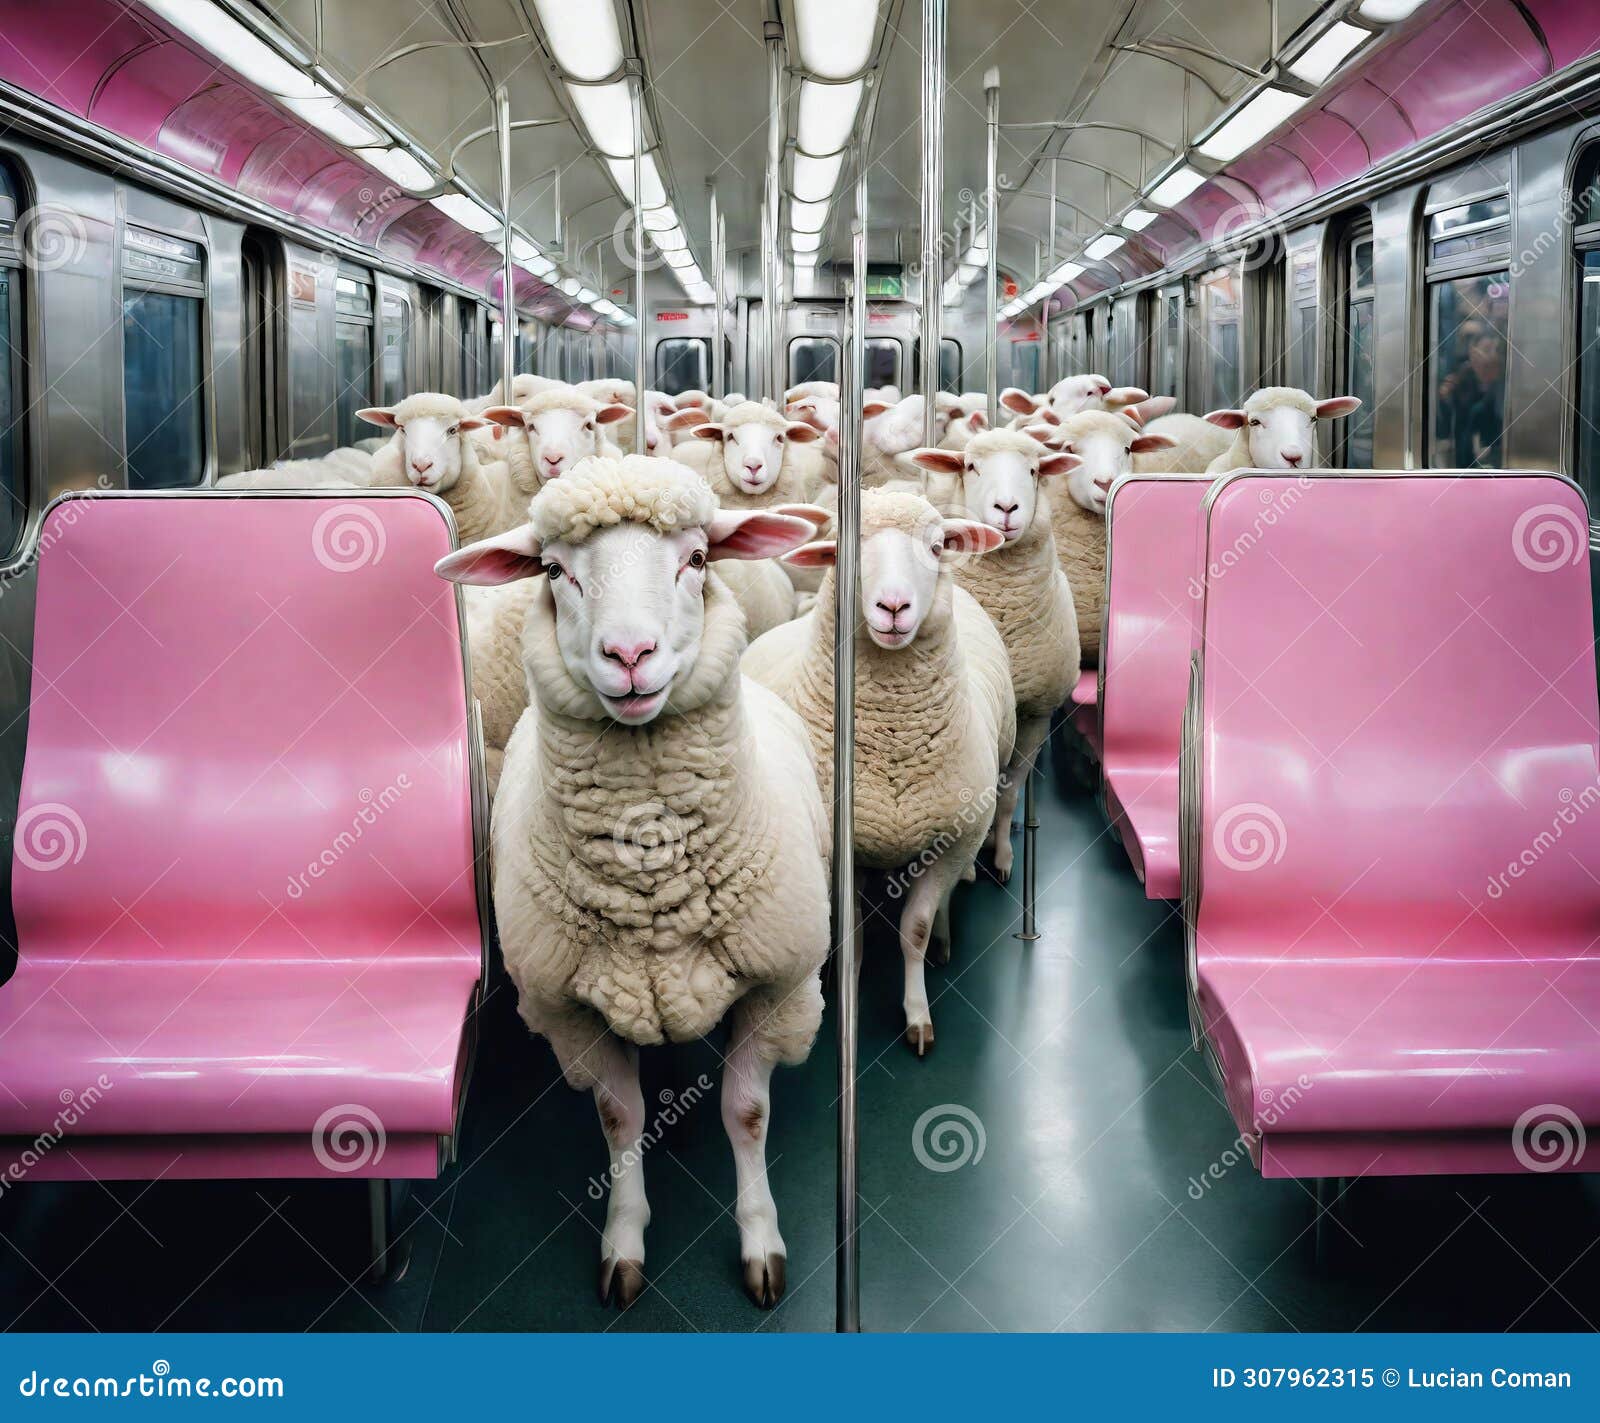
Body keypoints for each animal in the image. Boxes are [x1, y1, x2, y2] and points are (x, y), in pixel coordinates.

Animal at [434, 454, 829, 1310]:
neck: (654, 892)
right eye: (555, 570)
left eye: (698, 558)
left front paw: (761, 1238)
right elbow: (620, 1118)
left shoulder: (777, 986)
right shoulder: (570, 1011)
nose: (630, 654)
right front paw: (624, 1237)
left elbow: (747, 1113)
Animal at [742, 487, 1015, 1054]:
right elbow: (853, 937)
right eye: (847, 550)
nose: (893, 607)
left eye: (937, 547)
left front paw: (917, 1014)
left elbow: (914, 929)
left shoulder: (953, 841)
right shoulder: (842, 854)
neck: (893, 740)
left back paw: (945, 937)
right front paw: (848, 993)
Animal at [906, 432, 1081, 882]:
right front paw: (969, 867)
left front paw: (1001, 855)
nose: (1006, 508)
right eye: (970, 466)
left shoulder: (1035, 714)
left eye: (1034, 470)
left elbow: (1009, 792)